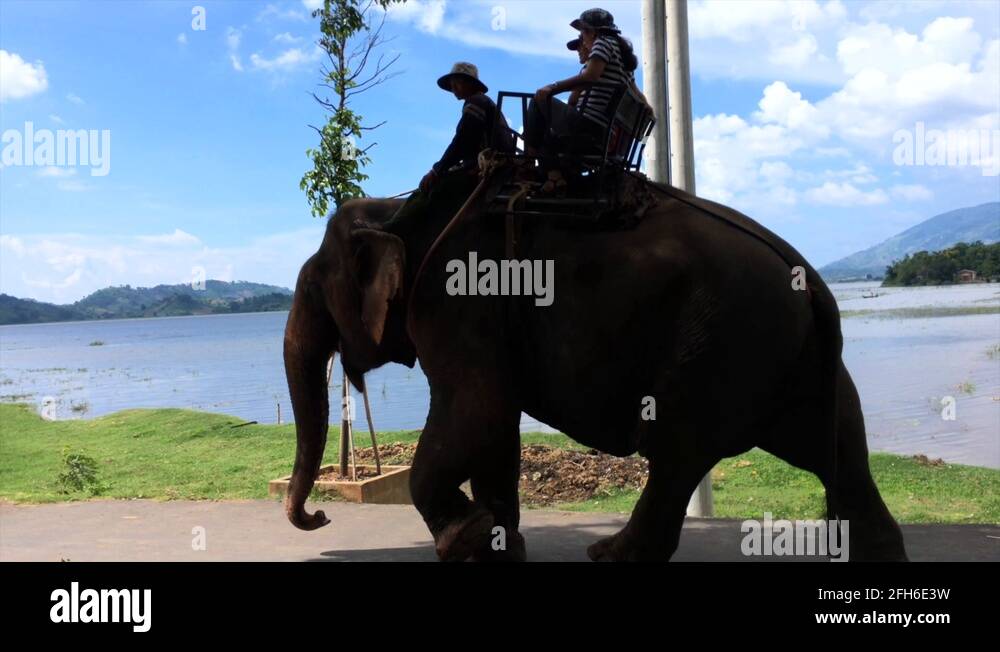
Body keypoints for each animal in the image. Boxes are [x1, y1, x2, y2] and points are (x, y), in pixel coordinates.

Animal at [282, 174, 908, 562]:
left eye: (312, 289)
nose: (320, 516)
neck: (399, 209)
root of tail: (814, 281)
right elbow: (494, 430)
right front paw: (494, 545)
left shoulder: (456, 300)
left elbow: (476, 412)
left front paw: (467, 536)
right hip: (794, 360)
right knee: (839, 448)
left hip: (719, 344)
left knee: (677, 454)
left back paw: (609, 555)